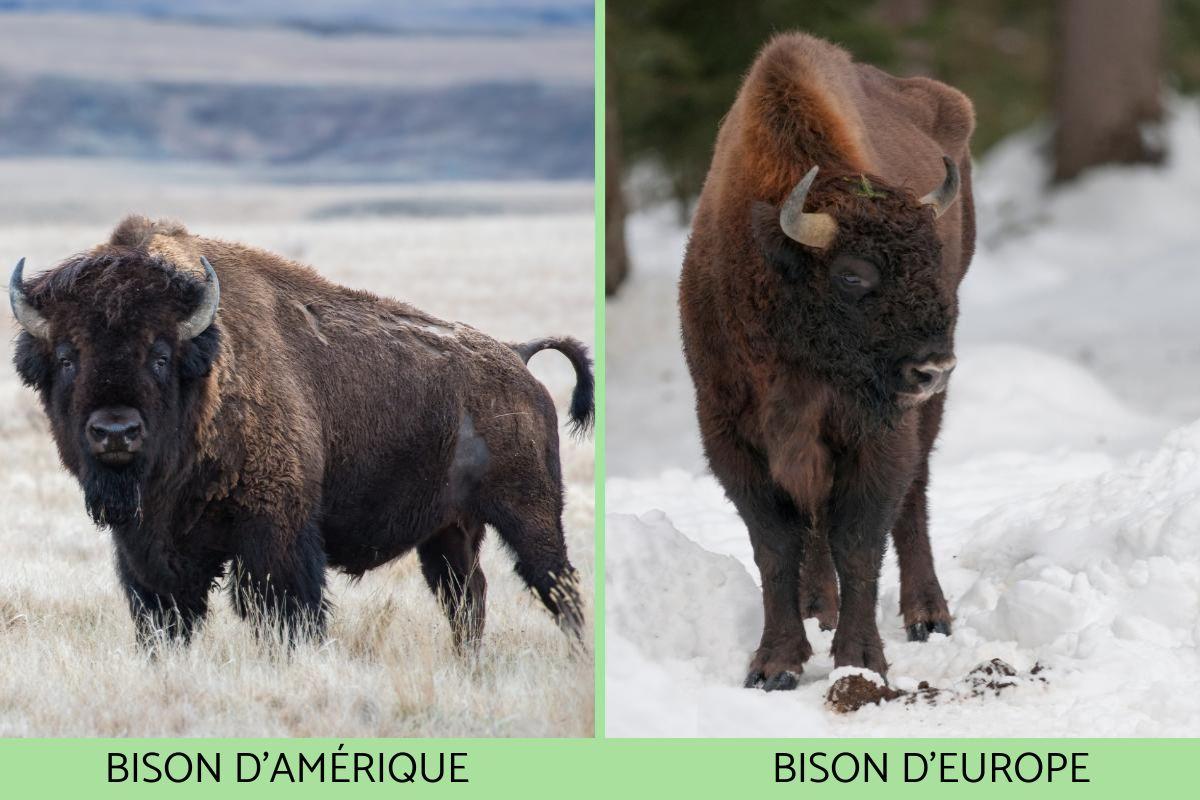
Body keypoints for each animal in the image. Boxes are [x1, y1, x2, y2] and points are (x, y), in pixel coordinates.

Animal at [10, 216, 592, 649]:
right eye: (67, 357)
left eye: (160, 355)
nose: (116, 430)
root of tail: (515, 357)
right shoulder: (148, 549)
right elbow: (166, 613)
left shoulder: (277, 531)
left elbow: (284, 609)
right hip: (449, 530)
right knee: (467, 597)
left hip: (530, 511)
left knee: (557, 585)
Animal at [679, 32, 975, 687]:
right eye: (852, 275)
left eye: (932, 259)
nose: (933, 369)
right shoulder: (729, 431)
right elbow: (776, 545)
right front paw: (775, 664)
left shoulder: (877, 432)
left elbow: (860, 539)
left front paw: (861, 660)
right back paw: (819, 607)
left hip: (921, 417)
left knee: (913, 497)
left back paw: (927, 614)